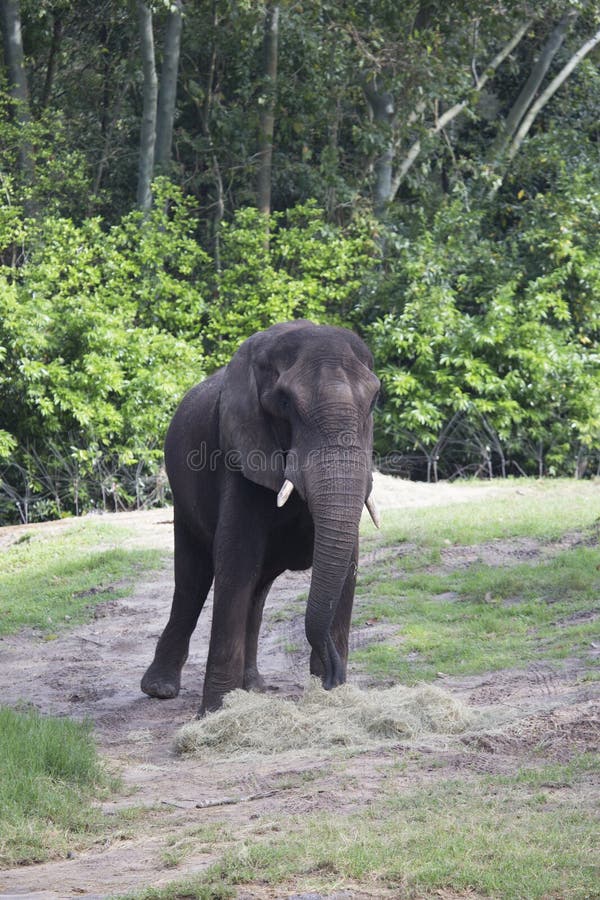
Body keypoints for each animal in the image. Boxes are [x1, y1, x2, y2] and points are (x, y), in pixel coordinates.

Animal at [141, 320, 380, 715]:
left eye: (375, 400)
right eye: (284, 402)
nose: (331, 676)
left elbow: (348, 566)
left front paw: (331, 702)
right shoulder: (238, 453)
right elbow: (236, 560)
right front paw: (217, 713)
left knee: (258, 589)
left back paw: (253, 687)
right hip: (183, 497)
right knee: (192, 581)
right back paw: (160, 689)